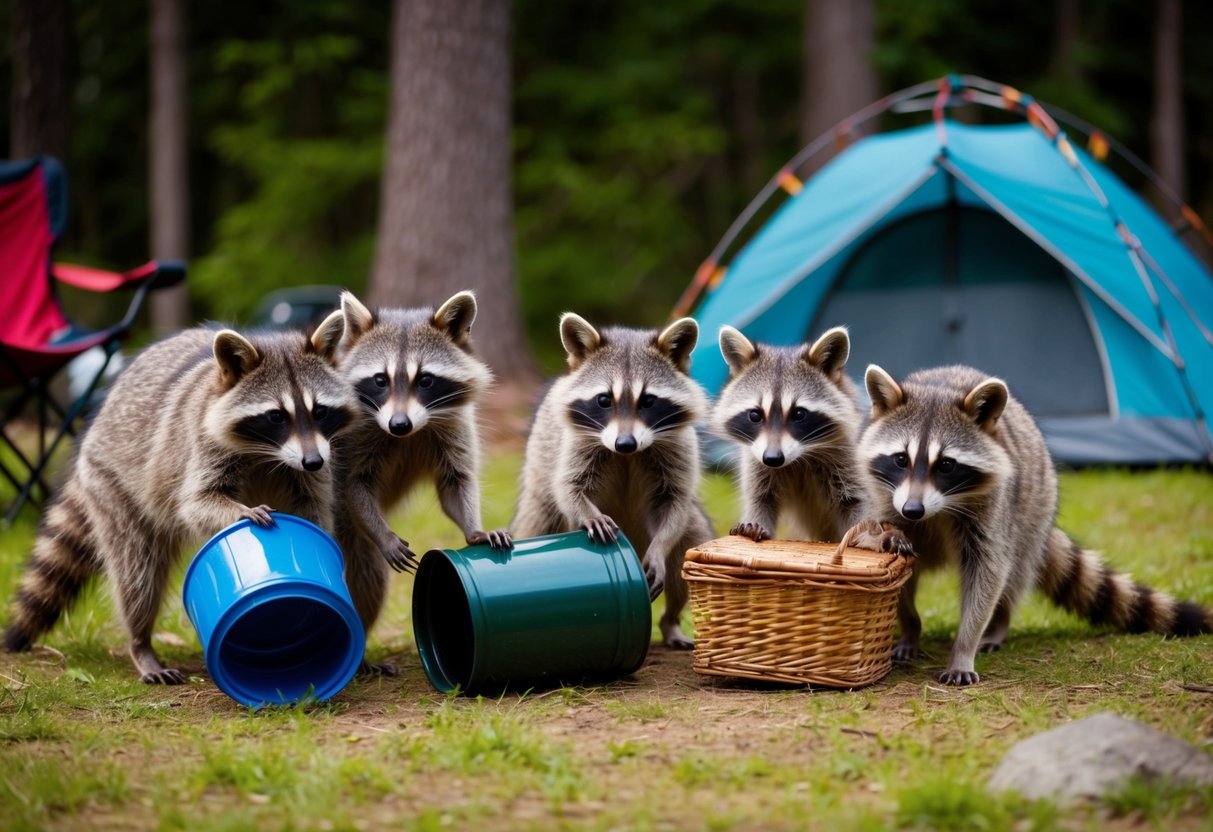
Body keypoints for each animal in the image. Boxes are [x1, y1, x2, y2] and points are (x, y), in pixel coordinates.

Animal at [4, 326, 355, 684]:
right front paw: (241, 512)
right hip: (112, 484)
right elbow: (196, 503)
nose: (312, 460)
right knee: (137, 572)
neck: (267, 454)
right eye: (275, 416)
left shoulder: (315, 462)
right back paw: (140, 641)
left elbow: (314, 507)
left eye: (320, 411)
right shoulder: (200, 445)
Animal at [315, 291, 510, 666]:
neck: (409, 433)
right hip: (346, 534)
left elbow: (456, 483)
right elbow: (353, 487)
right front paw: (385, 534)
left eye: (425, 380)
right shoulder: (352, 439)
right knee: (366, 572)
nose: (399, 424)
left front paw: (474, 528)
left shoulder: (453, 427)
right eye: (380, 380)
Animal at [512, 314, 713, 649]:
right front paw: (588, 514)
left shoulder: (678, 447)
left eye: (649, 401)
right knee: (539, 516)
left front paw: (660, 548)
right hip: (539, 482)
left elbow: (673, 502)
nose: (625, 443)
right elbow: (568, 487)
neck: (627, 456)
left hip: (692, 527)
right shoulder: (576, 443)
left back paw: (670, 621)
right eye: (604, 400)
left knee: (686, 557)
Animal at [712, 326, 874, 544]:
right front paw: (755, 523)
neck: (800, 457)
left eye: (798, 414)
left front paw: (866, 536)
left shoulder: (847, 454)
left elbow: (856, 501)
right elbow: (760, 498)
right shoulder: (755, 459)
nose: (772, 458)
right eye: (755, 415)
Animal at [859, 363, 1212, 686]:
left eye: (946, 465)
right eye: (900, 459)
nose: (912, 510)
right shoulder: (883, 496)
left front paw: (964, 647)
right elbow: (891, 558)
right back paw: (912, 630)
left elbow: (988, 572)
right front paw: (910, 621)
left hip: (1031, 513)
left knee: (1013, 576)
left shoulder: (992, 511)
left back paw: (999, 623)